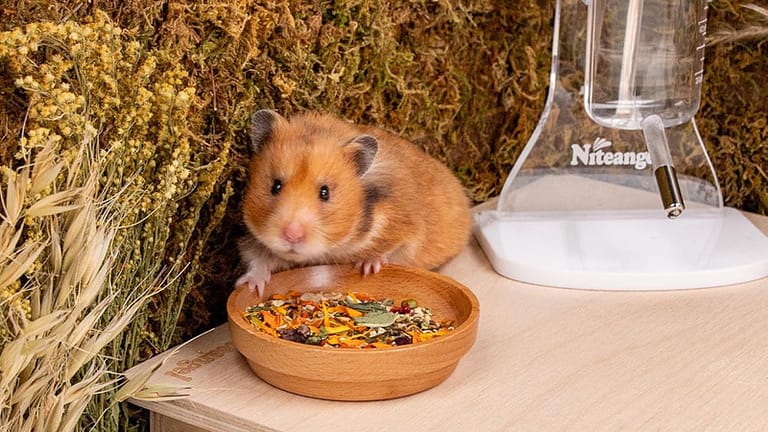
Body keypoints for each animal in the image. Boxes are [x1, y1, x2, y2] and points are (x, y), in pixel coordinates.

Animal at [236, 109, 471, 296]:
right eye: (275, 186)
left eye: (325, 193)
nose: (292, 236)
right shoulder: (256, 239)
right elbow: (258, 259)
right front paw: (251, 287)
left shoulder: (406, 230)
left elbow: (391, 250)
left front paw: (368, 267)